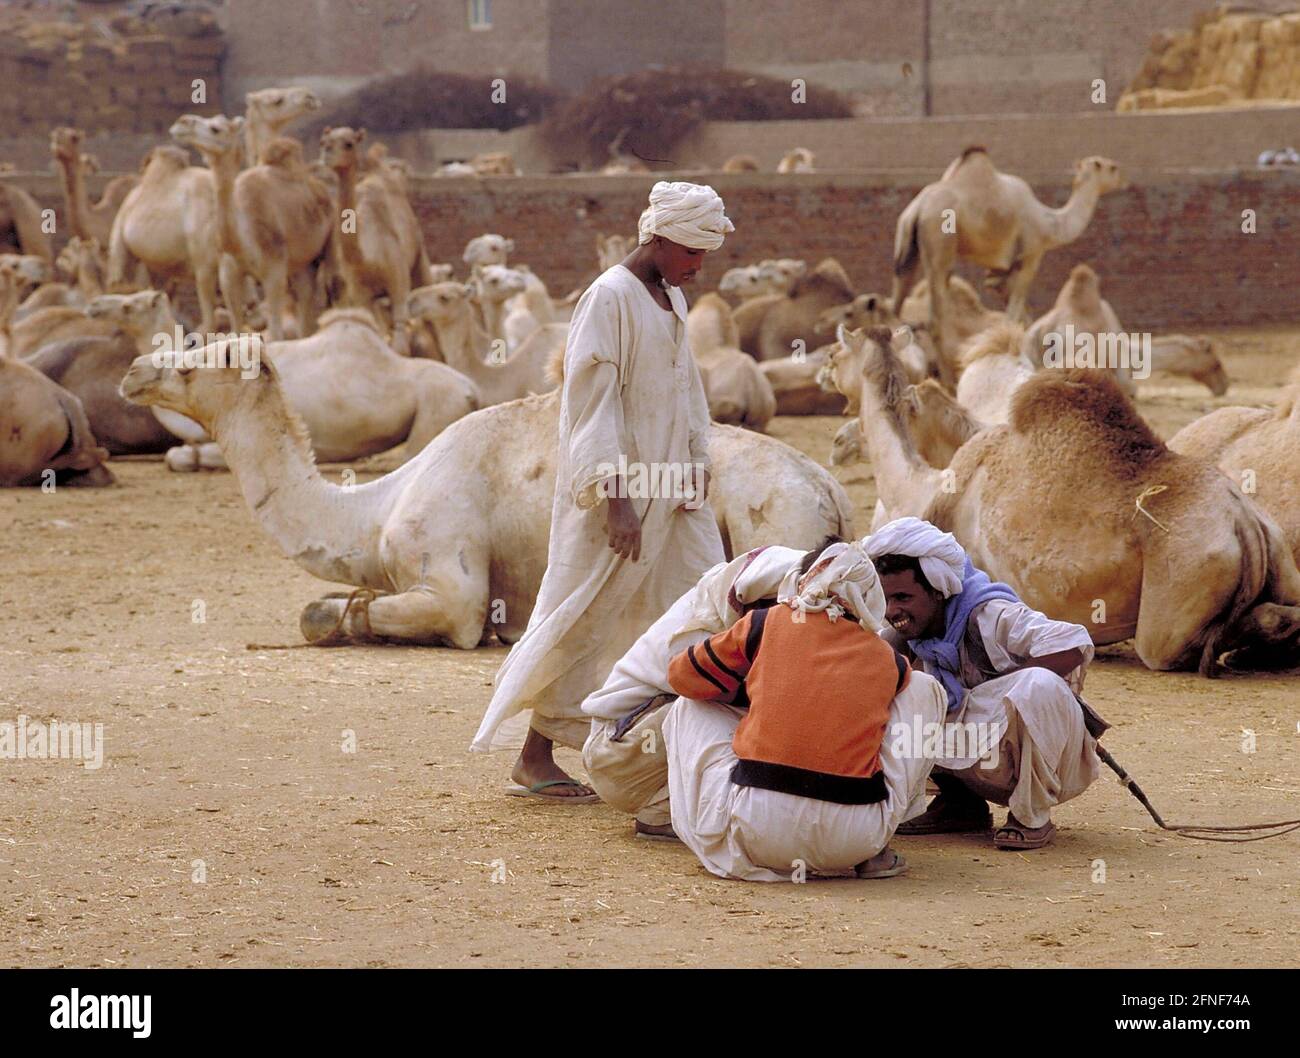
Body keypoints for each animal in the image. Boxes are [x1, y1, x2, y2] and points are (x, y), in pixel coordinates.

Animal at [120, 352, 853, 647]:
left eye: (194, 361)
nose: (134, 371)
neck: (375, 512)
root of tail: (827, 490)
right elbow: (323, 607)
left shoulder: (452, 579)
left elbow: (438, 616)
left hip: (771, 520)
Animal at [171, 115, 332, 341]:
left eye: (215, 129)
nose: (183, 122)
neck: (242, 241)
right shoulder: (228, 275)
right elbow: (237, 331)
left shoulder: (274, 273)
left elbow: (275, 335)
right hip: (299, 265)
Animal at [319, 126, 433, 354]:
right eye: (324, 141)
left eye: (349, 143)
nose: (327, 153)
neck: (368, 260)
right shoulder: (360, 294)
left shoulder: (399, 285)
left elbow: (400, 344)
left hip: (418, 258)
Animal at [892, 148, 1125, 355]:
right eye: (1112, 167)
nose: (1124, 180)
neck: (1049, 223)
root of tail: (918, 209)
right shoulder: (1030, 257)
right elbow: (1014, 317)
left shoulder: (1000, 272)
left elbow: (1022, 318)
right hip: (940, 242)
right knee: (936, 318)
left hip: (906, 245)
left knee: (896, 306)